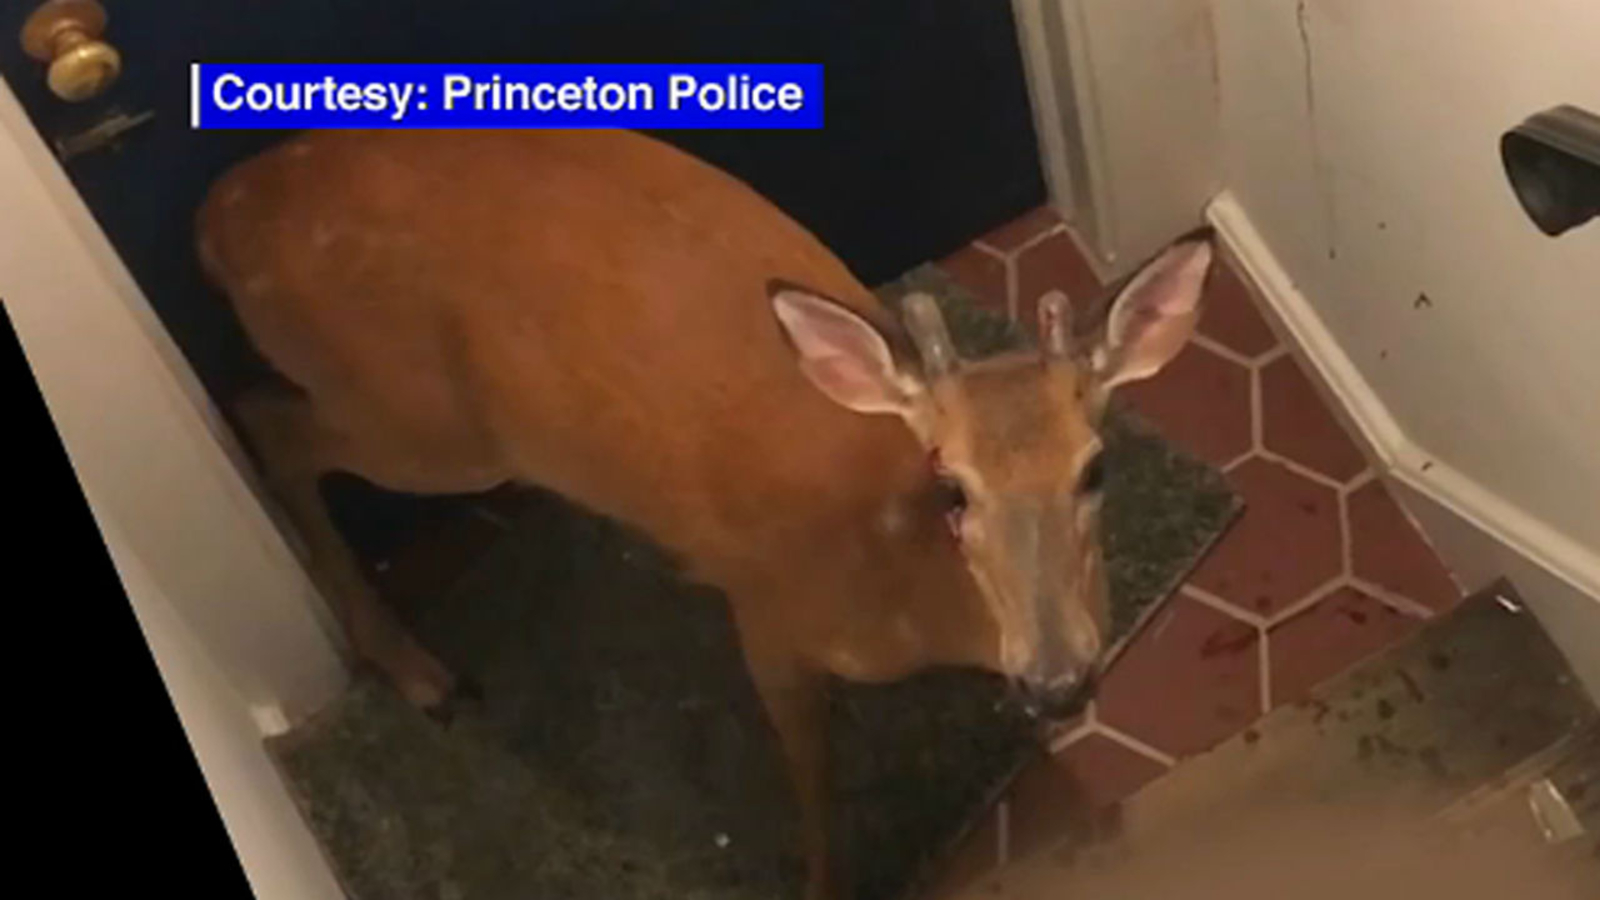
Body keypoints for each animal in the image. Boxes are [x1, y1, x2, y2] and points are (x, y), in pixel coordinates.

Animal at [195, 128, 1213, 900]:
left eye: (1094, 467)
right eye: (951, 485)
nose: (1057, 678)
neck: (896, 572)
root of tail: (221, 216)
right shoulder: (766, 618)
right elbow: (812, 779)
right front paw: (821, 884)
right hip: (421, 420)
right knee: (269, 425)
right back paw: (423, 675)